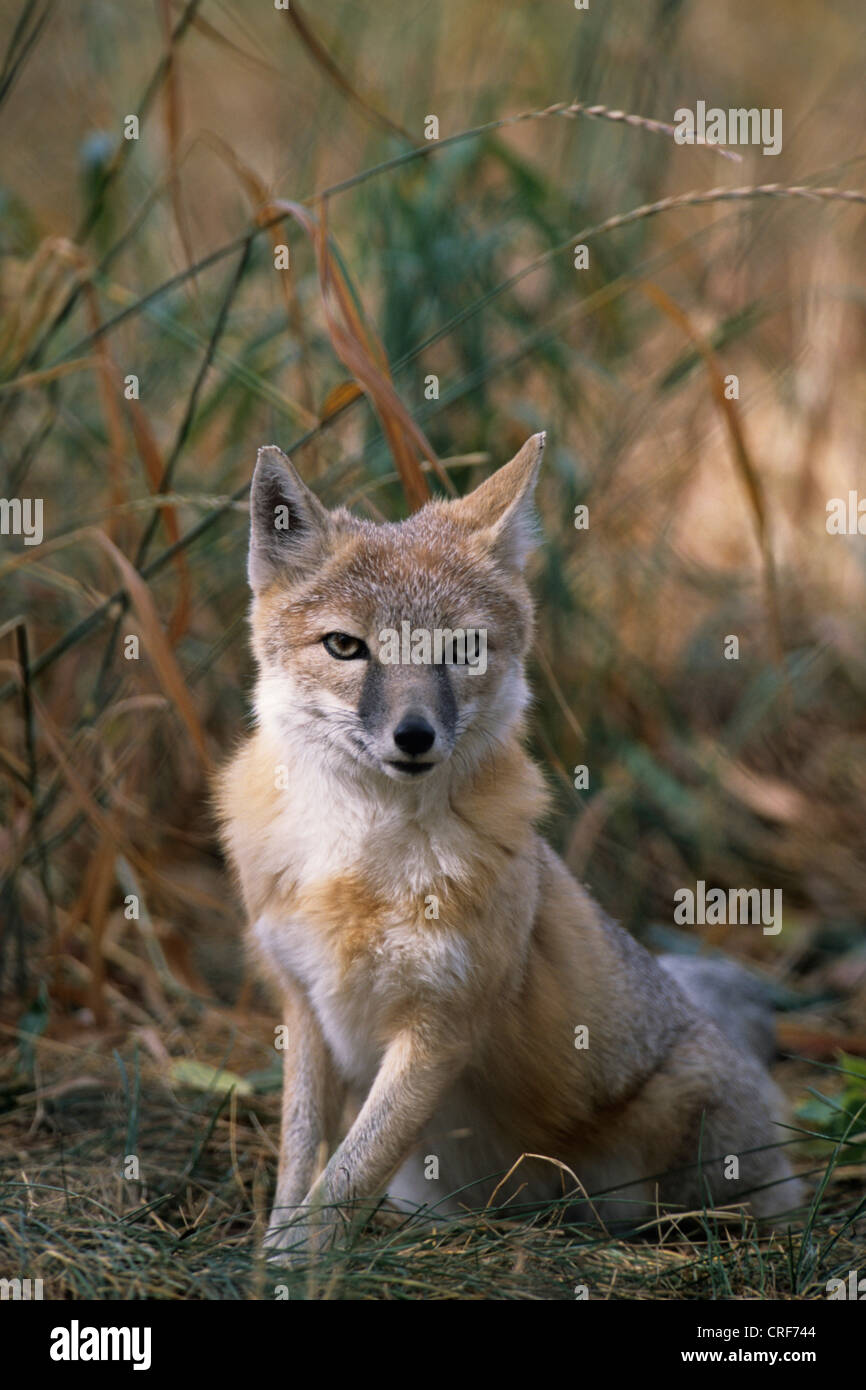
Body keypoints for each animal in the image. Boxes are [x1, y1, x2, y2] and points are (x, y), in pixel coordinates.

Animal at [217, 431, 803, 1259]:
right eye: (344, 646)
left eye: (463, 648)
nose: (414, 735)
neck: (362, 859)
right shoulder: (306, 1007)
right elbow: (303, 1164)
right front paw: (275, 1256)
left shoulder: (441, 1025)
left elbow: (349, 1173)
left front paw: (305, 1265)